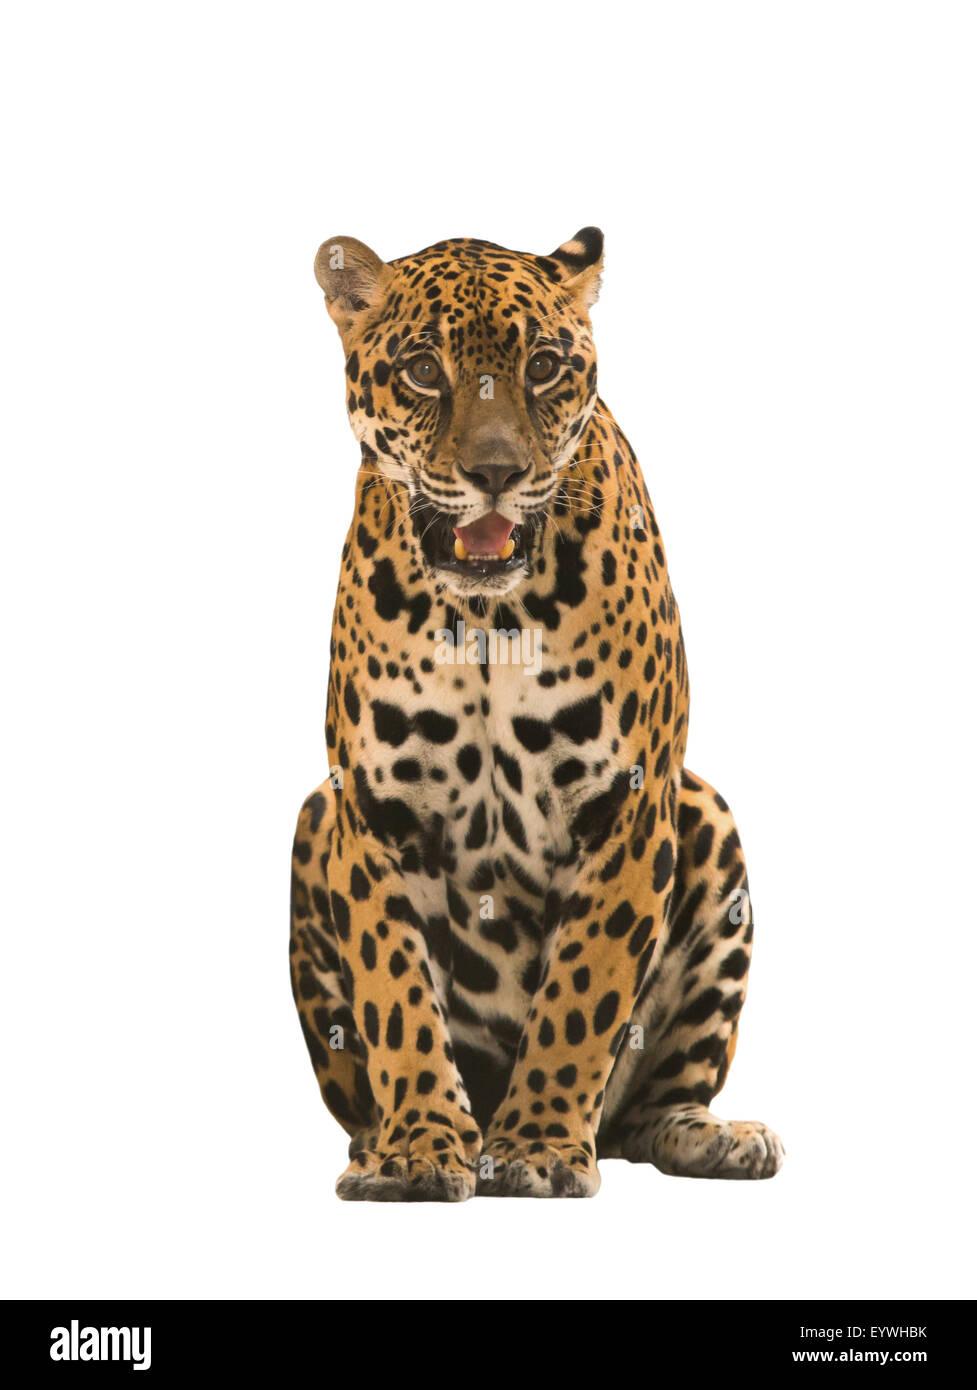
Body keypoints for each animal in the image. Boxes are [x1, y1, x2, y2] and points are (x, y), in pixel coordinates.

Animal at [289, 227, 784, 1200]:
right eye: (422, 369)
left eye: (545, 367)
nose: (494, 474)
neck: (486, 620)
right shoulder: (370, 808)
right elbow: (396, 994)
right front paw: (416, 1149)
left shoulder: (626, 804)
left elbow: (582, 994)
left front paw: (539, 1146)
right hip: (312, 816)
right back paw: (377, 1146)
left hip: (705, 813)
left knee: (646, 1109)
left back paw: (714, 1138)